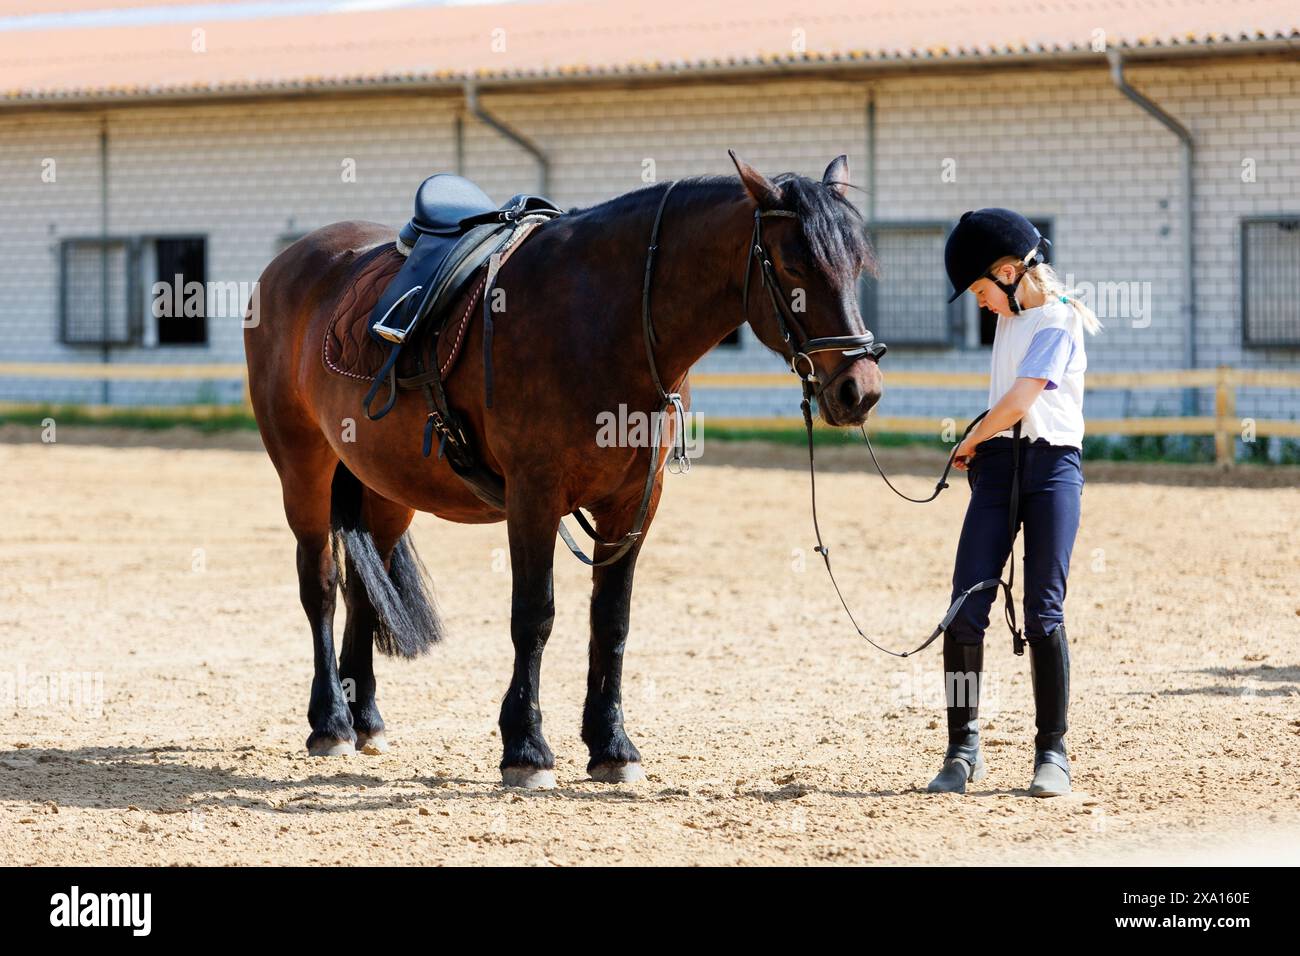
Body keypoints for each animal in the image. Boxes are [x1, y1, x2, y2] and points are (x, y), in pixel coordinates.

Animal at [244, 151, 884, 788]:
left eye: (856, 264)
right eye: (793, 264)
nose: (860, 390)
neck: (604, 320)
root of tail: (288, 263)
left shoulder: (634, 502)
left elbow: (612, 619)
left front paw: (612, 745)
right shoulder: (534, 495)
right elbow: (534, 615)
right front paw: (525, 748)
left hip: (388, 487)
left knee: (363, 588)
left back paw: (365, 719)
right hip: (303, 468)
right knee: (321, 584)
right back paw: (331, 723)